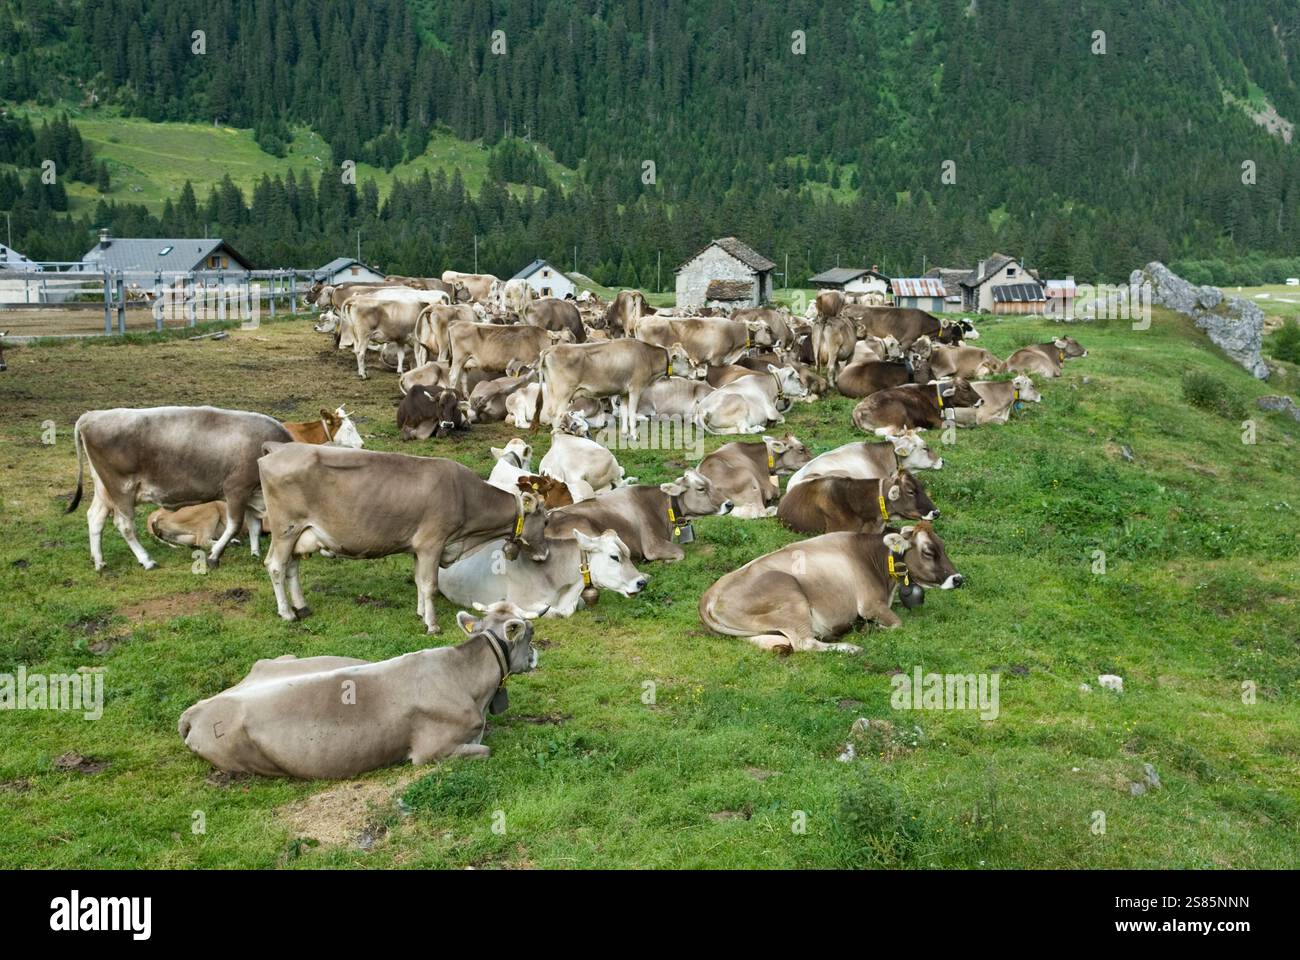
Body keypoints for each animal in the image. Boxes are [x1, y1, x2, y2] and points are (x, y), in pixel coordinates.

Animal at [67, 406, 290, 570]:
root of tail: (91, 416)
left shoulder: (253, 494)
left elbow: (254, 526)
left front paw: (255, 553)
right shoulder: (236, 489)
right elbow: (235, 525)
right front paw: (215, 556)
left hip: (104, 489)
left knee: (95, 518)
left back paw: (99, 561)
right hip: (121, 489)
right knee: (124, 524)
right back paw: (147, 560)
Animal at [178, 601, 543, 777]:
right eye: (531, 632)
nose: (536, 656)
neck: (464, 676)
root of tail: (199, 708)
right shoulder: (431, 752)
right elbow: (485, 750)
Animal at [258, 444, 550, 632]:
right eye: (546, 521)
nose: (545, 553)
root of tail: (276, 452)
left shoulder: (417, 547)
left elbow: (420, 582)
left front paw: (421, 613)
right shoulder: (432, 543)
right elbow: (430, 584)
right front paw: (432, 625)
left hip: (300, 533)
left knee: (292, 567)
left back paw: (302, 607)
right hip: (286, 529)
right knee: (276, 566)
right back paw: (287, 613)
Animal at [698, 523, 963, 653]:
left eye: (943, 546)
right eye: (928, 551)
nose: (958, 579)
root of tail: (708, 597)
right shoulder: (870, 604)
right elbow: (898, 624)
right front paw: (871, 629)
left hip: (753, 629)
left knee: (770, 641)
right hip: (791, 596)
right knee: (804, 643)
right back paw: (849, 646)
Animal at [851, 378, 984, 435]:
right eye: (965, 388)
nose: (982, 400)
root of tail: (857, 411)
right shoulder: (936, 420)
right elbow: (956, 424)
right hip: (898, 412)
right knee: (888, 432)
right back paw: (919, 429)